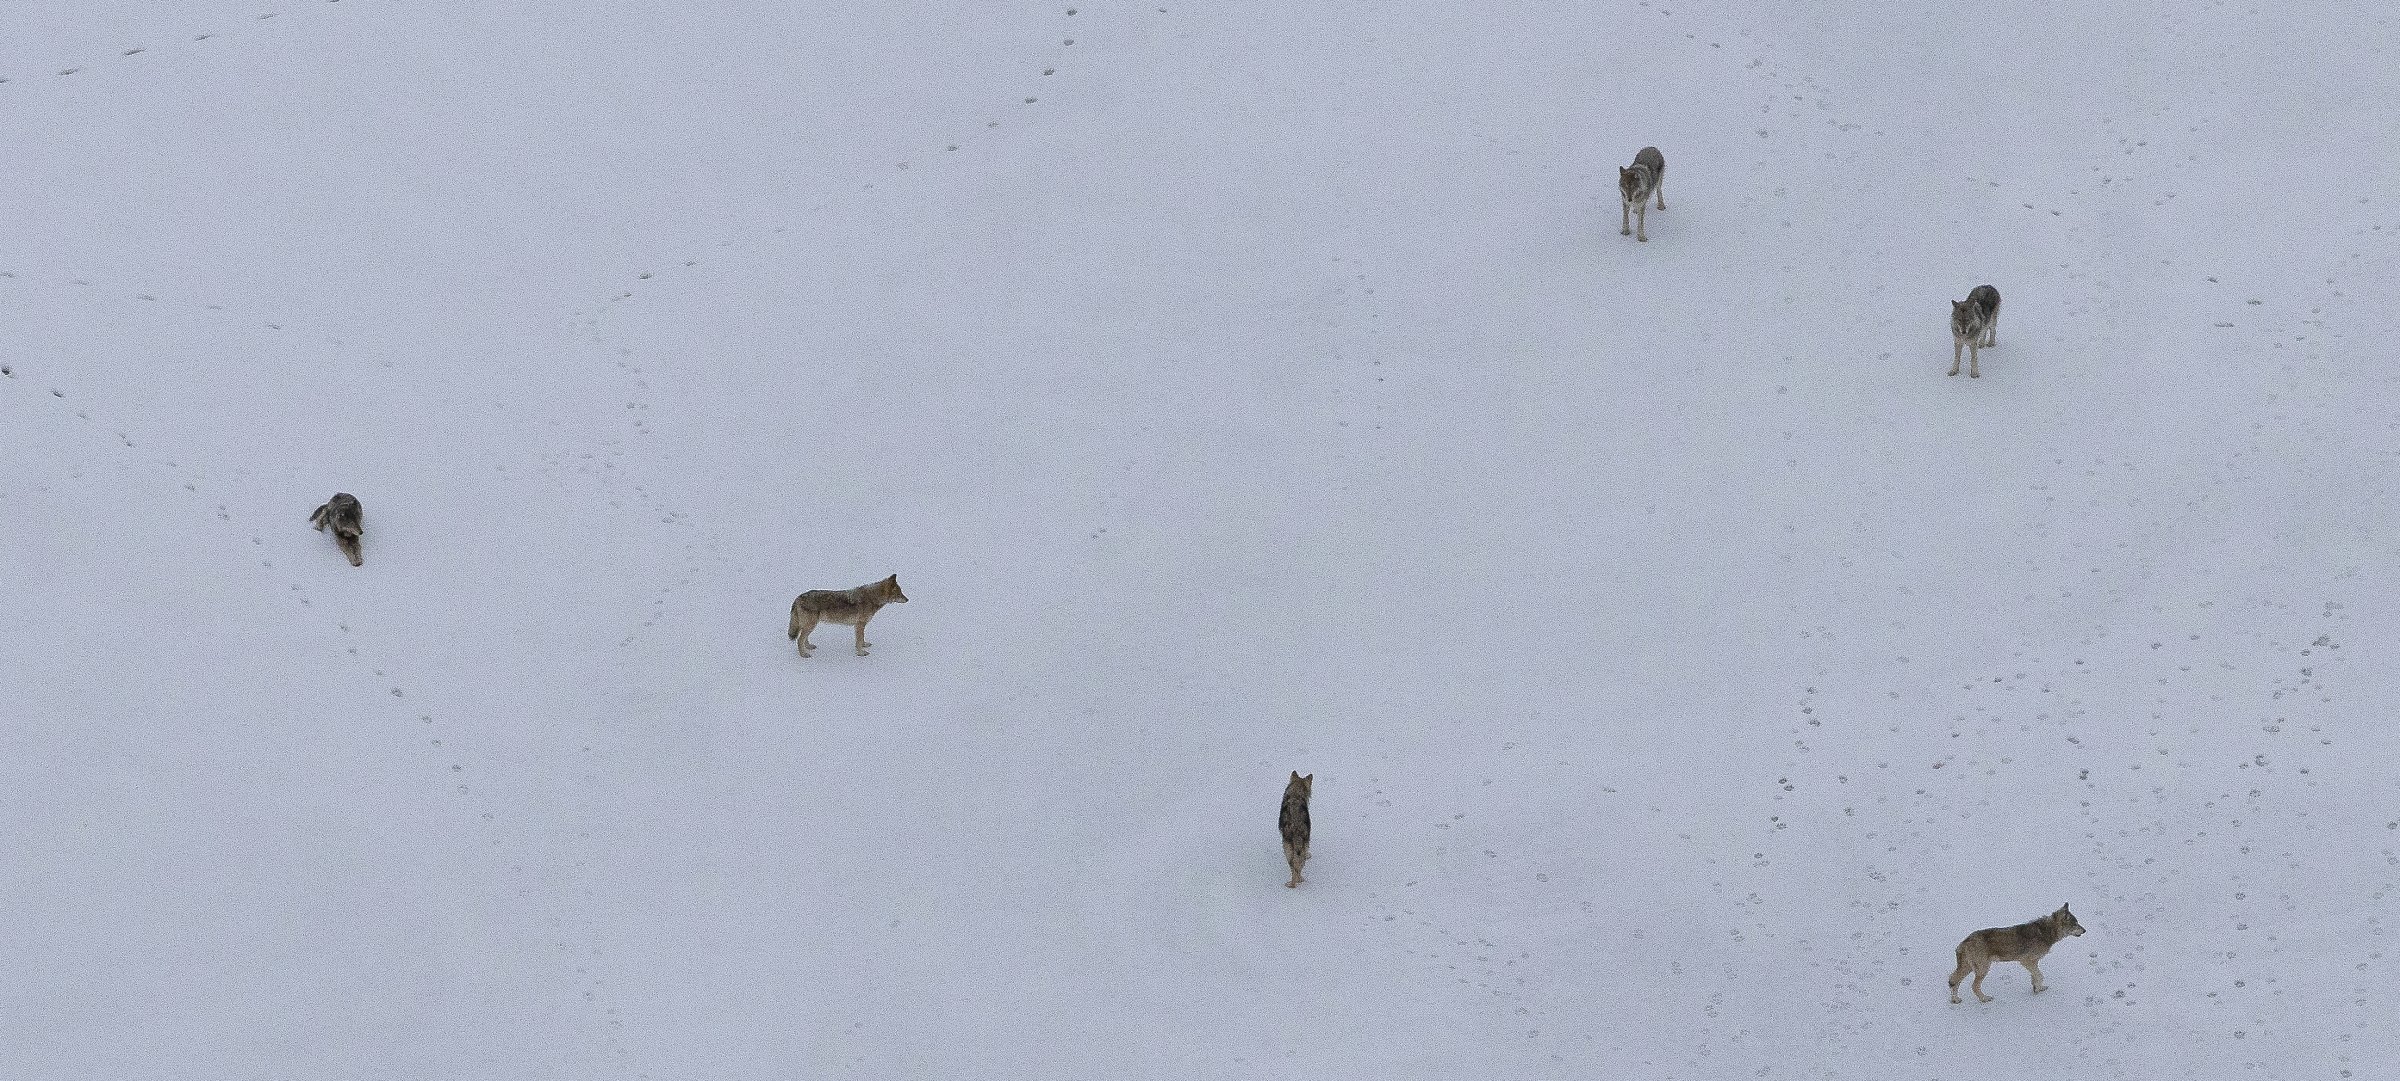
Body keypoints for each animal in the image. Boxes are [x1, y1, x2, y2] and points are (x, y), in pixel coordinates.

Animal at [1948, 902, 2084, 1003]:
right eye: (2075, 924)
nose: (2085, 930)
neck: (2046, 932)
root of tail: (1964, 941)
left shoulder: (2033, 962)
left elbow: (2035, 976)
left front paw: (2037, 988)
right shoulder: (2026, 961)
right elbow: (2040, 975)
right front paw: (2038, 989)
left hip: (1969, 968)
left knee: (1953, 980)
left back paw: (1955, 1000)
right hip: (1982, 969)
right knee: (1973, 986)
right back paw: (1984, 999)